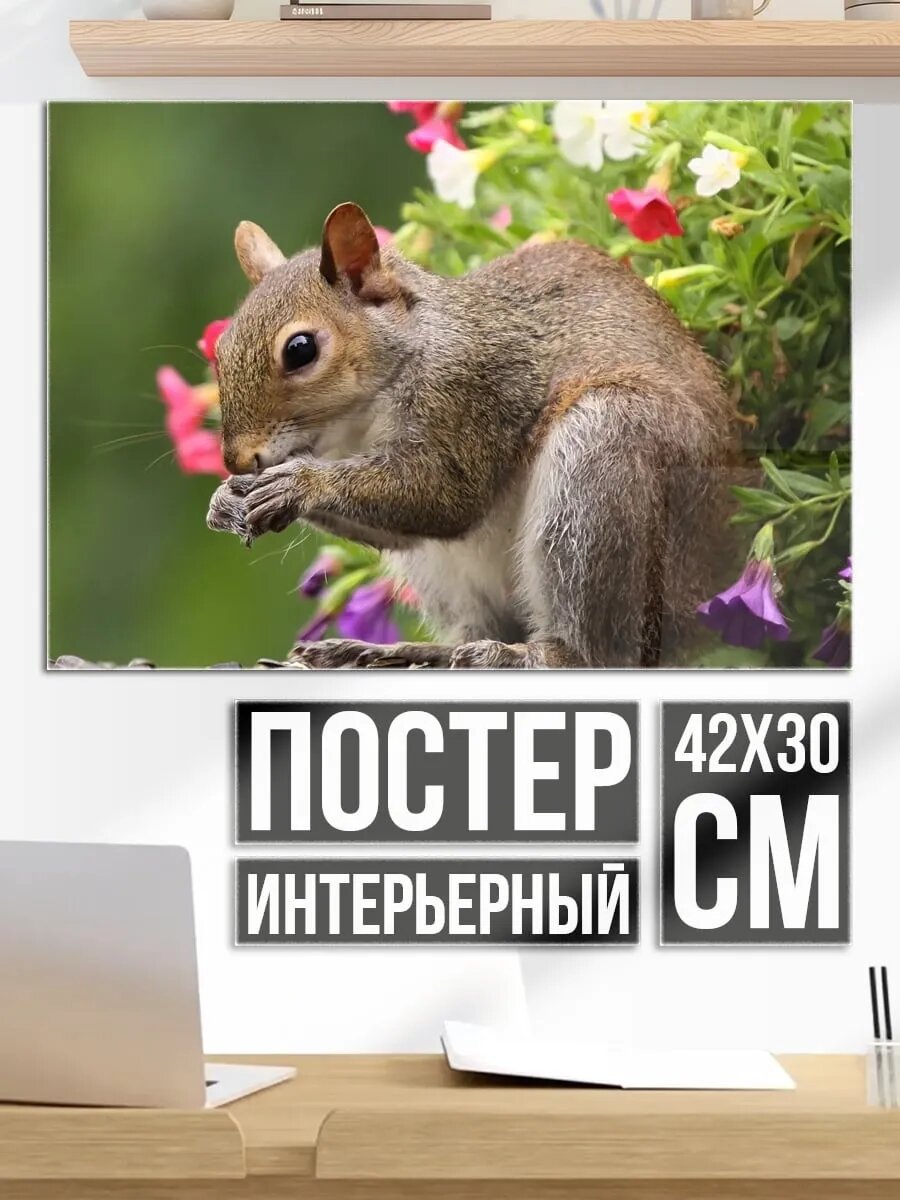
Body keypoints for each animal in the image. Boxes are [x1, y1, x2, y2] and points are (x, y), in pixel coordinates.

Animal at [207, 202, 735, 669]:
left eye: (300, 349)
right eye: (221, 346)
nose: (237, 460)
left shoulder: (473, 391)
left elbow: (446, 496)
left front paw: (300, 484)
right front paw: (226, 500)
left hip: (604, 466)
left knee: (601, 655)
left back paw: (523, 655)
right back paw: (399, 651)